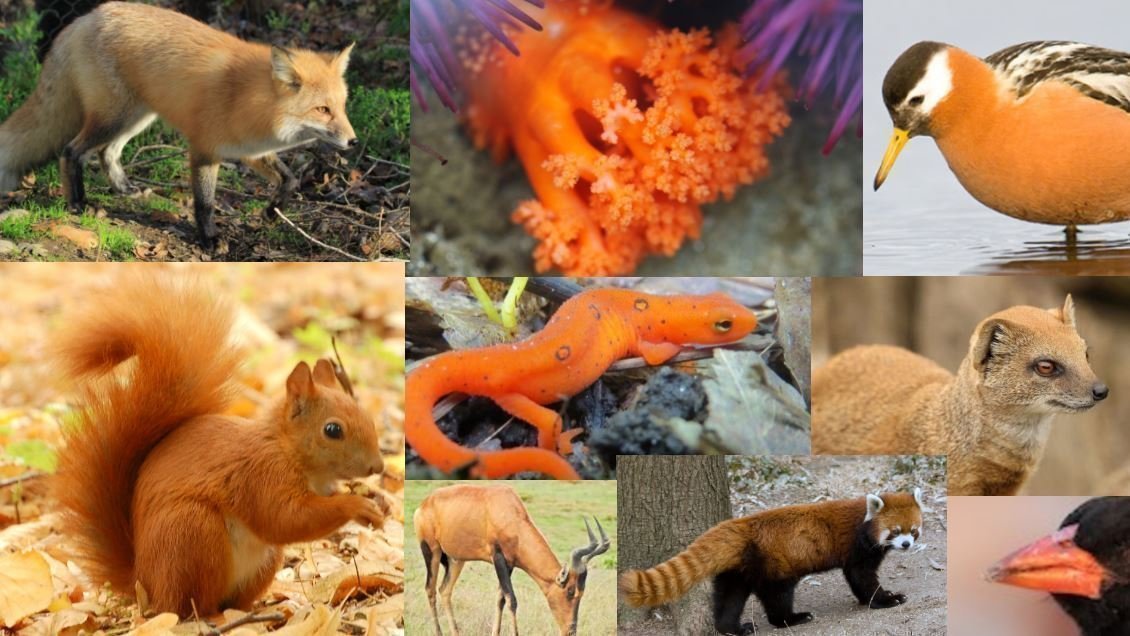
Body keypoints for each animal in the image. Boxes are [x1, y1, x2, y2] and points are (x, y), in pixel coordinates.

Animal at [0, 1, 357, 249]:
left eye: (342, 107)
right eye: (322, 110)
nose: (353, 142)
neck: (245, 98)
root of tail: (85, 17)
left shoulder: (249, 150)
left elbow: (290, 179)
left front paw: (271, 213)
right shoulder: (204, 149)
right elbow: (205, 203)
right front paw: (210, 239)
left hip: (137, 117)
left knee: (107, 153)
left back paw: (124, 189)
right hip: (113, 117)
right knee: (71, 151)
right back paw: (77, 203)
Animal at [52, 275, 387, 617]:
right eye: (332, 430)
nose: (378, 466)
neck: (286, 448)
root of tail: (144, 585)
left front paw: (376, 506)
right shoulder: (262, 476)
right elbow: (286, 518)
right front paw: (355, 505)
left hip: (261, 560)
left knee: (232, 600)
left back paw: (261, 609)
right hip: (194, 535)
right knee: (188, 605)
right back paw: (213, 616)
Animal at [620, 489, 929, 634]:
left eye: (913, 530)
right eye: (895, 532)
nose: (906, 545)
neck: (863, 523)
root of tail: (740, 525)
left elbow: (857, 580)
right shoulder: (857, 548)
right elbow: (862, 578)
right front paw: (886, 599)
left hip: (738, 569)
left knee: (730, 598)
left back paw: (733, 629)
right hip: (775, 565)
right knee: (776, 597)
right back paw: (792, 618)